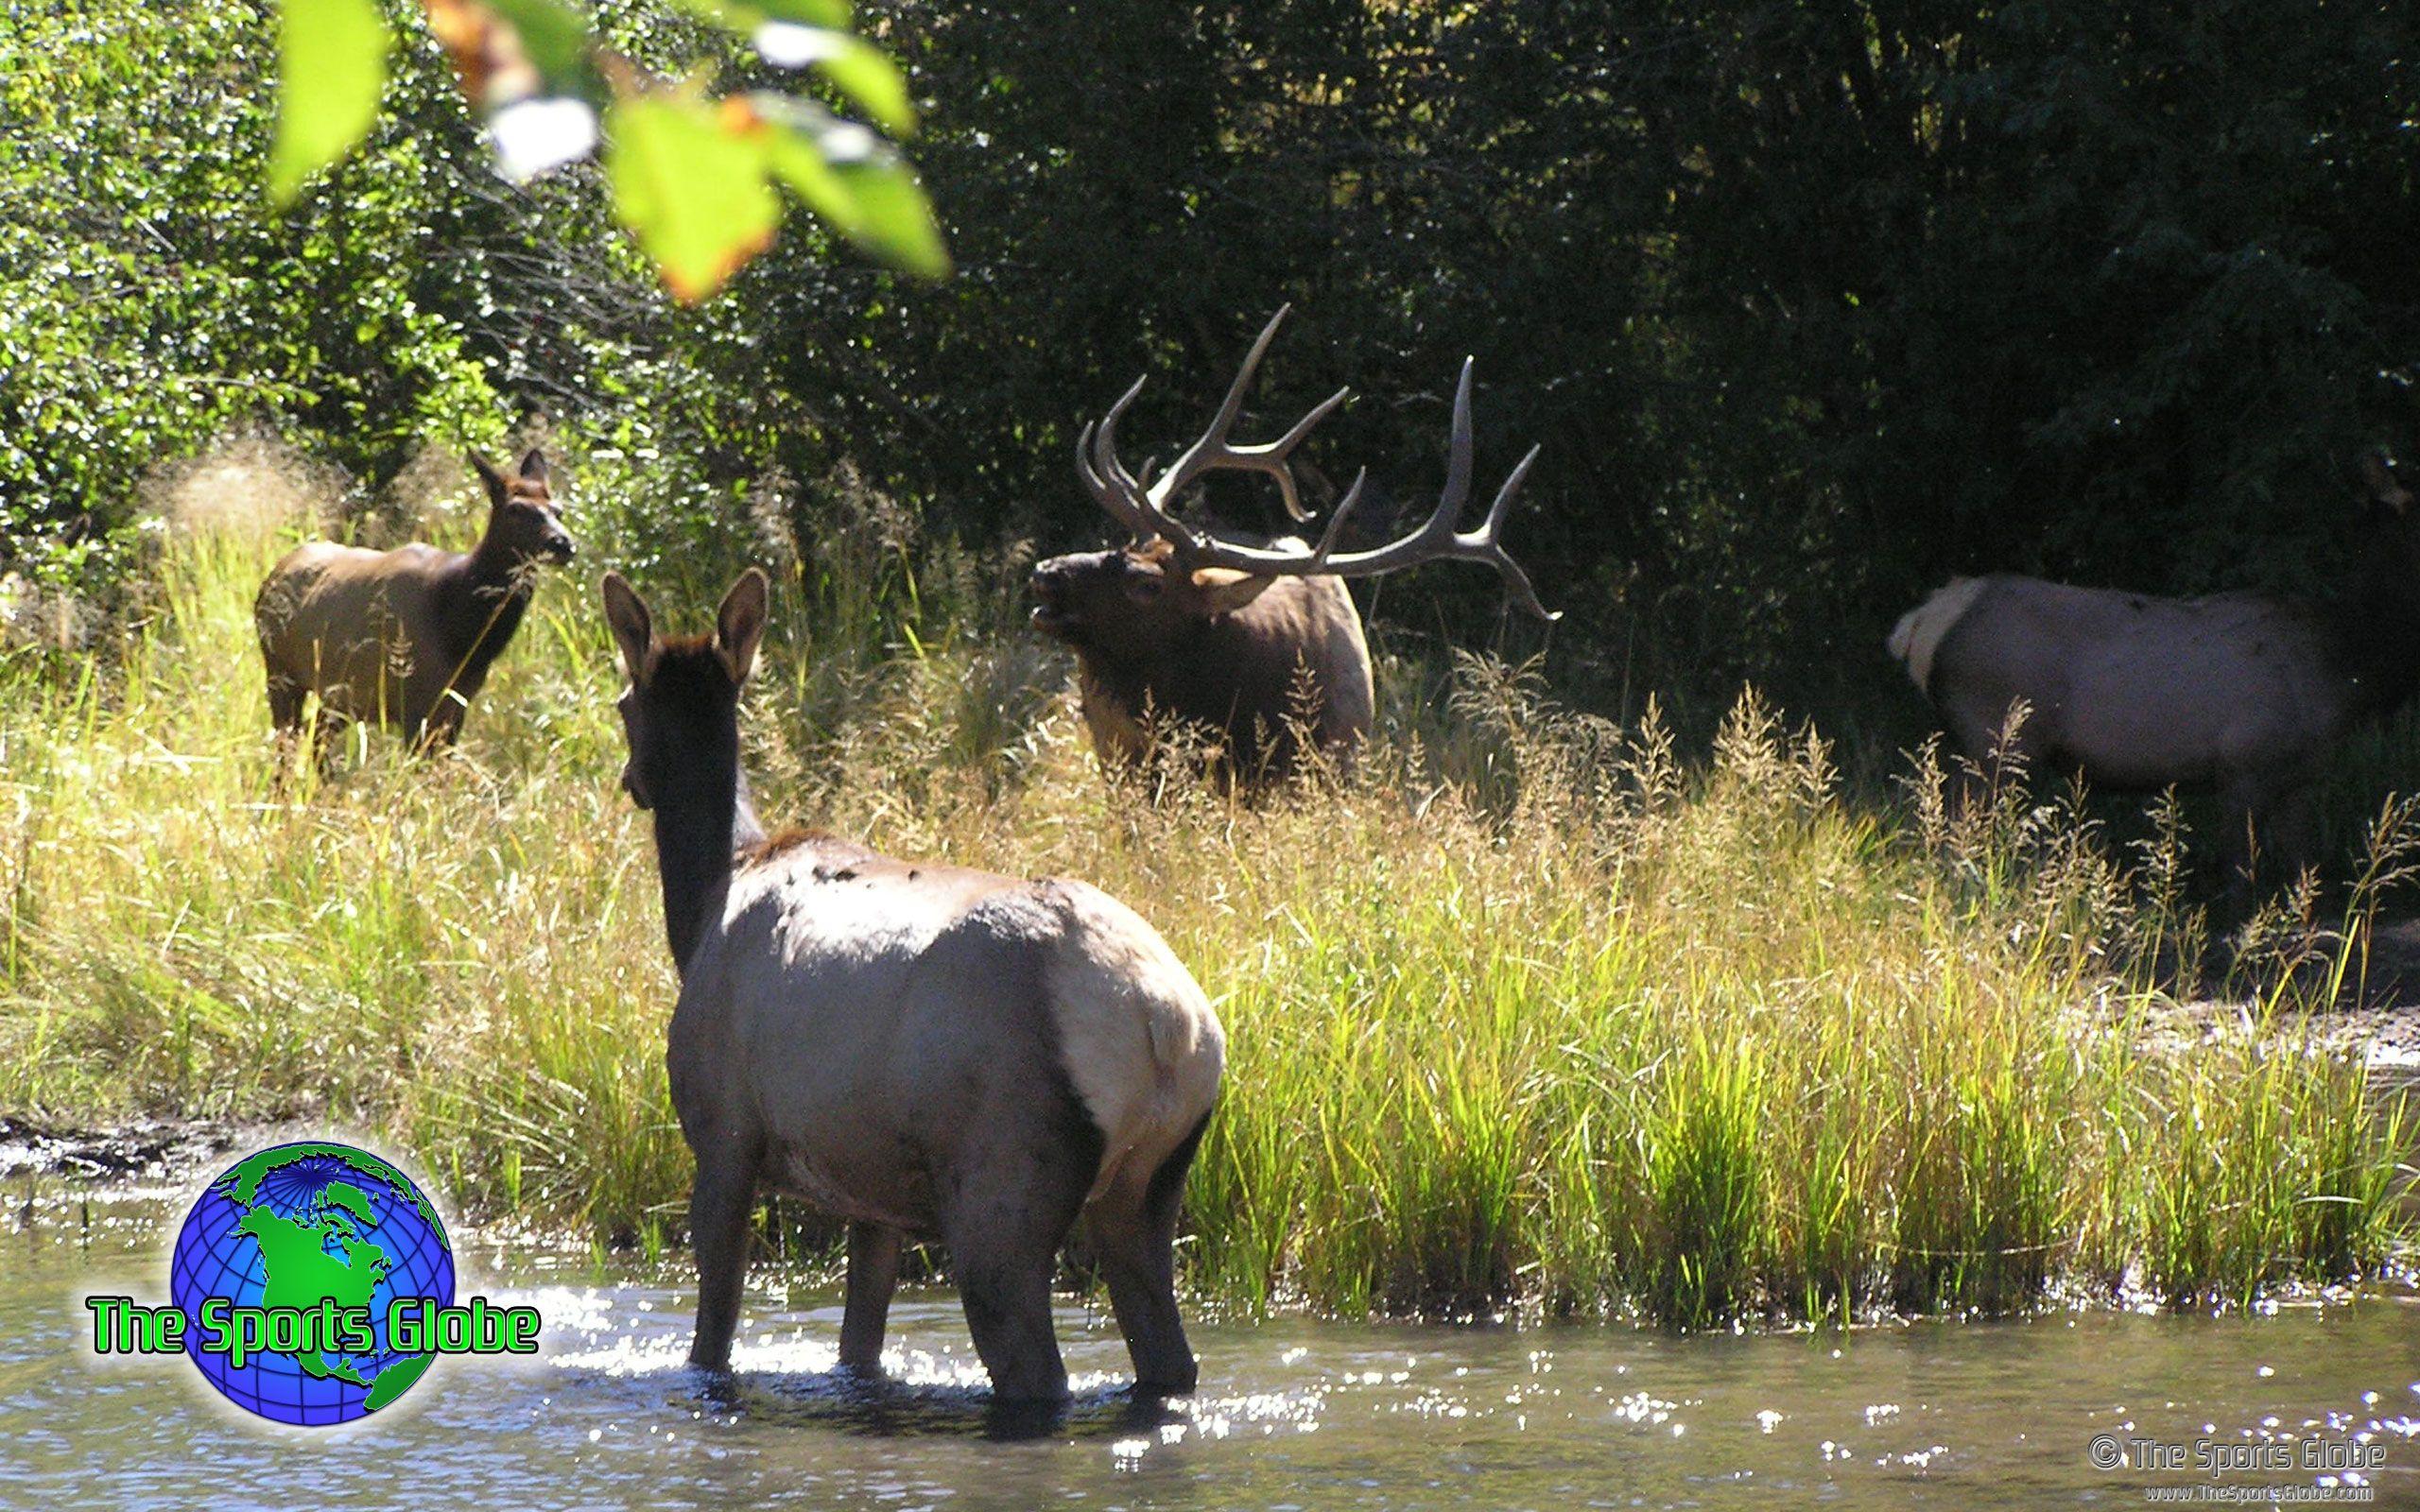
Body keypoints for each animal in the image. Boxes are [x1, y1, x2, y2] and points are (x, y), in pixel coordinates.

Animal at [254, 448, 574, 756]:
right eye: (515, 509)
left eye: (558, 510)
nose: (563, 544)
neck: (462, 633)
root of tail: (267, 582)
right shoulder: (415, 700)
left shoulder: (456, 703)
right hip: (280, 670)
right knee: (287, 743)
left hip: (340, 693)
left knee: (315, 741)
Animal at [600, 567, 1226, 1404]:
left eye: (622, 701)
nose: (630, 779)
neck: (701, 907)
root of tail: (1164, 1027)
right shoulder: (874, 1197)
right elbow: (858, 1345)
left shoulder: (722, 1135)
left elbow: (712, 1339)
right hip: (1154, 1178)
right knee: (1170, 1359)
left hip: (1002, 1179)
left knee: (1033, 1364)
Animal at [1889, 453, 2420, 889]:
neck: (2345, 666)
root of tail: (1918, 626)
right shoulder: (2244, 764)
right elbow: (2238, 880)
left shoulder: (2299, 778)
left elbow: (2305, 874)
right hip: (1997, 734)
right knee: (1957, 825)